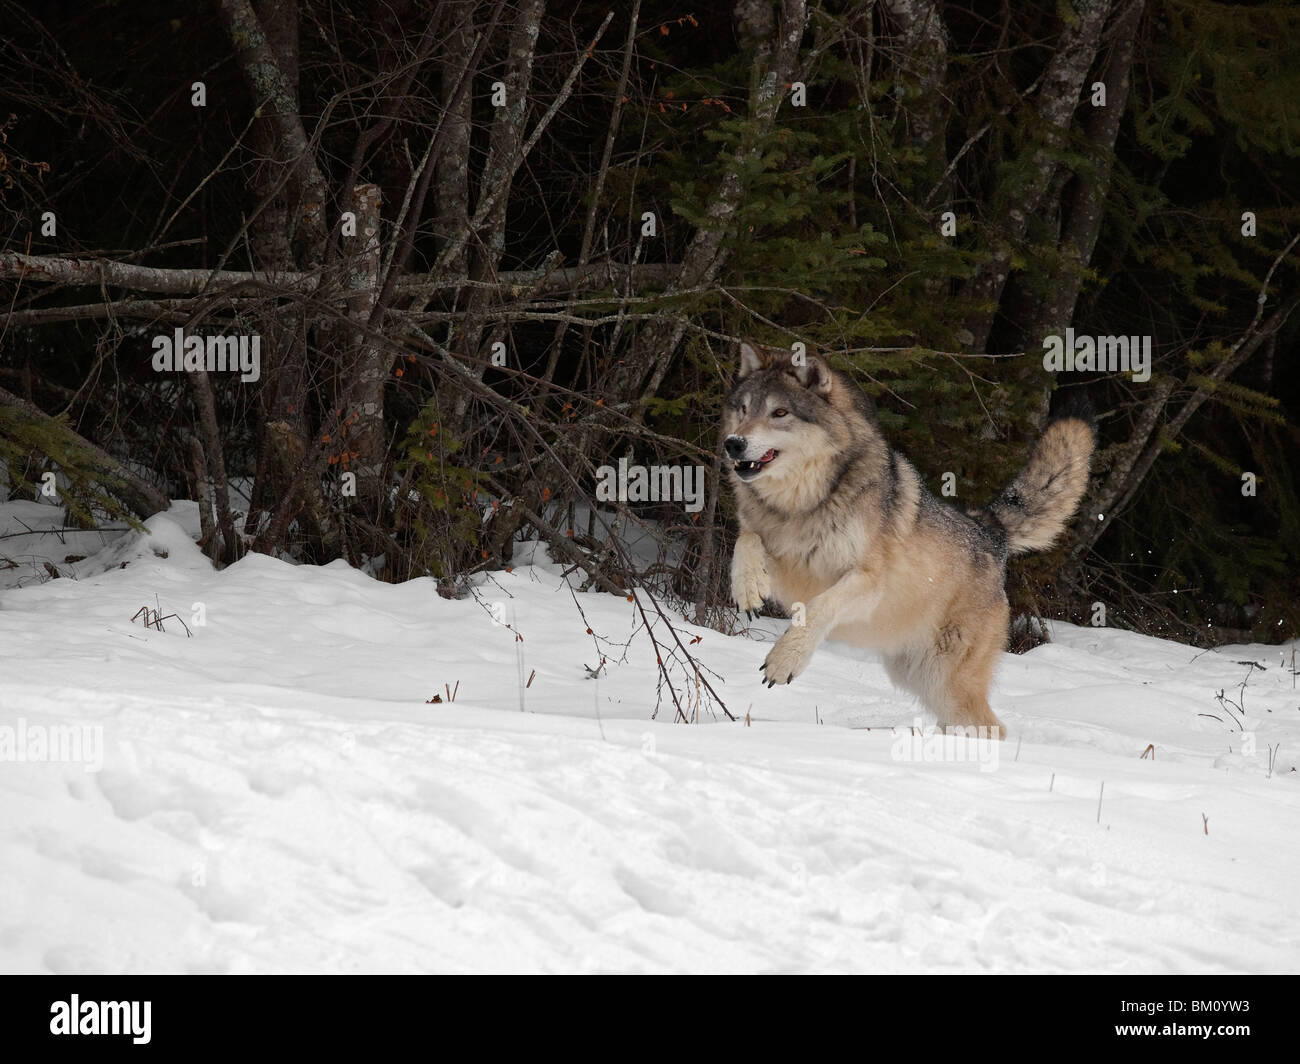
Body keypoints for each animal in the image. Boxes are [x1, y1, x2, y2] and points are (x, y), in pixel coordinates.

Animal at [724, 341, 1094, 739]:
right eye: (743, 410)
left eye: (779, 412)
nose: (733, 444)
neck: (801, 505)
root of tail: (988, 528)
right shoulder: (785, 557)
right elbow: (745, 540)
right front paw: (747, 588)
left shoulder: (867, 582)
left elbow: (819, 608)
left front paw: (783, 661)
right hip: (921, 679)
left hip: (945, 681)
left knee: (993, 727)